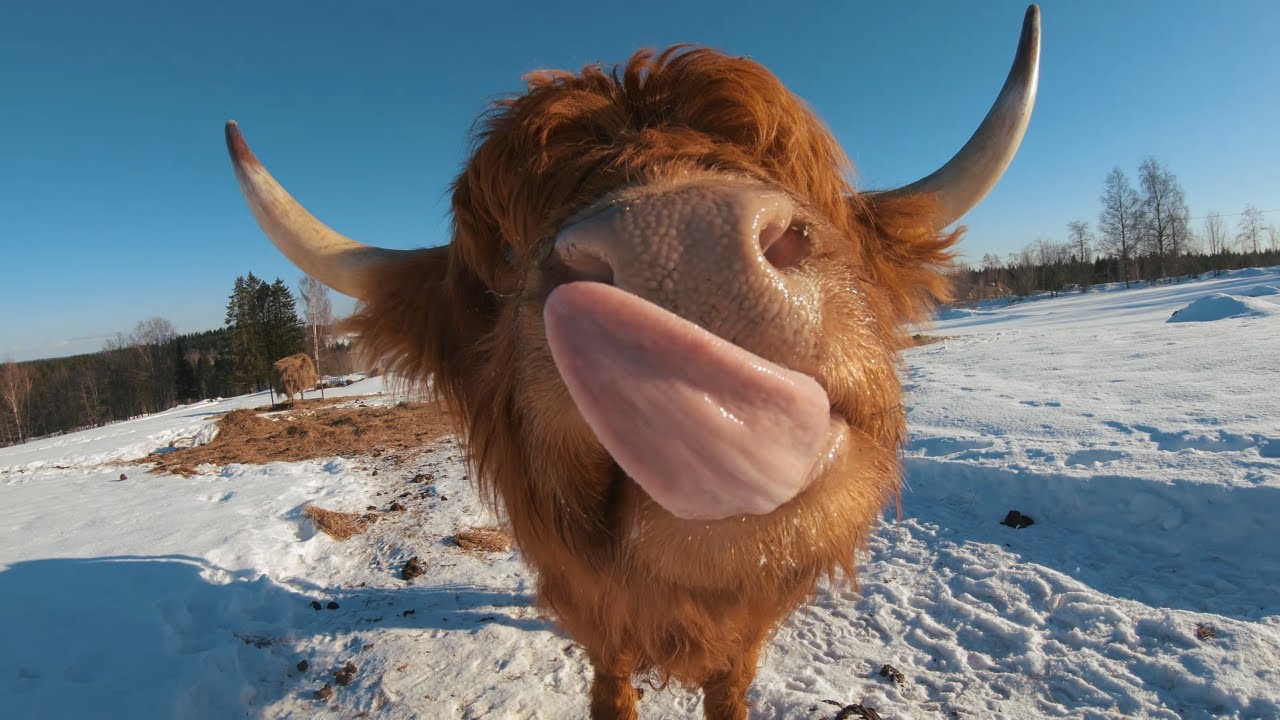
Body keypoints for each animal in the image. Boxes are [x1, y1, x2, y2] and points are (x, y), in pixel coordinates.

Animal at [225, 7, 1039, 718]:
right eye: (503, 255)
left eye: (802, 173)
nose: (686, 244)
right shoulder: (598, 614)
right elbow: (610, 683)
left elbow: (729, 689)